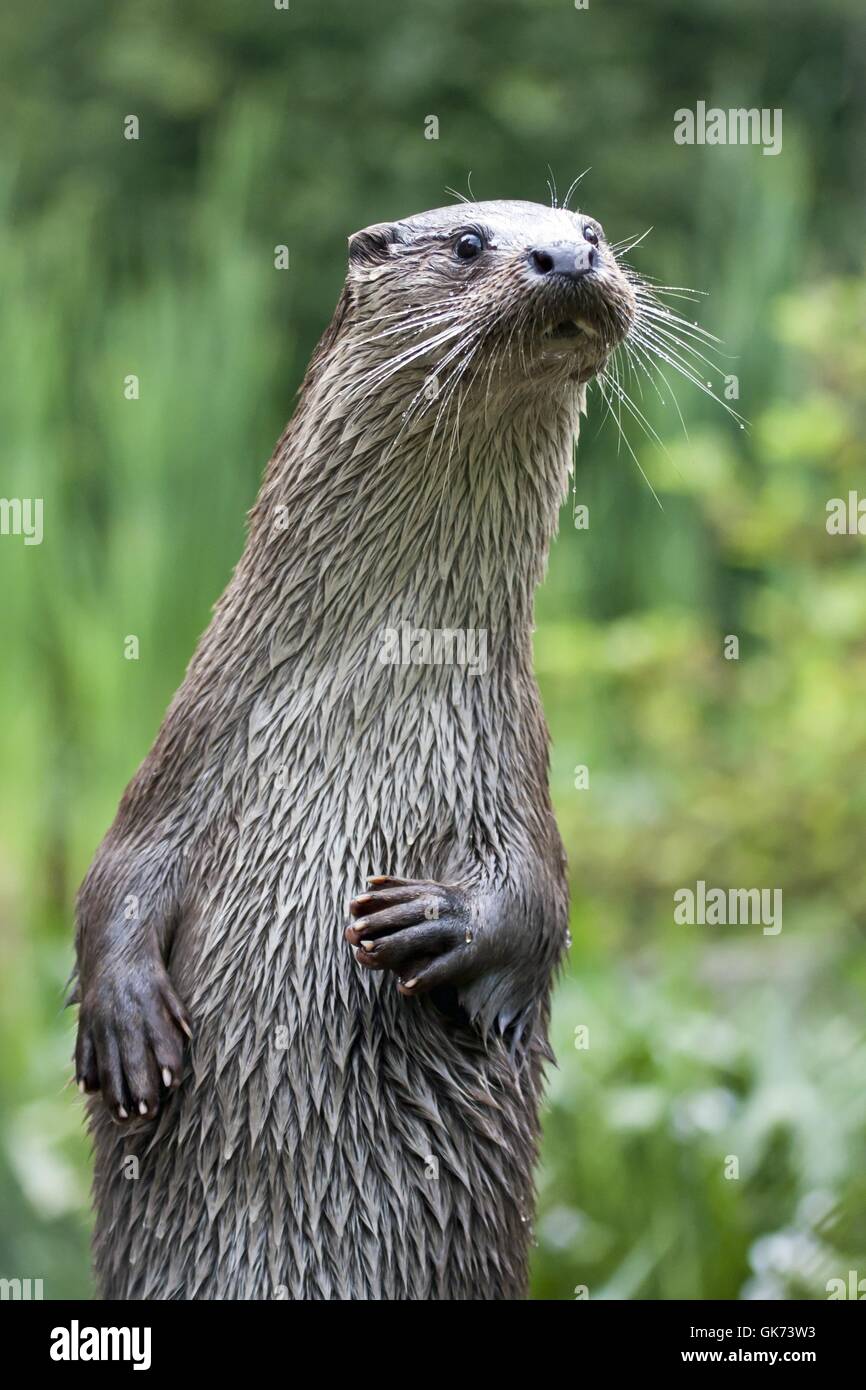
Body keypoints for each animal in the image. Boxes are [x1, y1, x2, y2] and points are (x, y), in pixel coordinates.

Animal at [72, 199, 636, 1300]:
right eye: (468, 241)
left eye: (591, 229)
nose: (566, 257)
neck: (367, 687)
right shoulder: (187, 746)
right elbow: (115, 872)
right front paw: (126, 1028)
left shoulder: (513, 759)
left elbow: (540, 899)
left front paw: (433, 922)